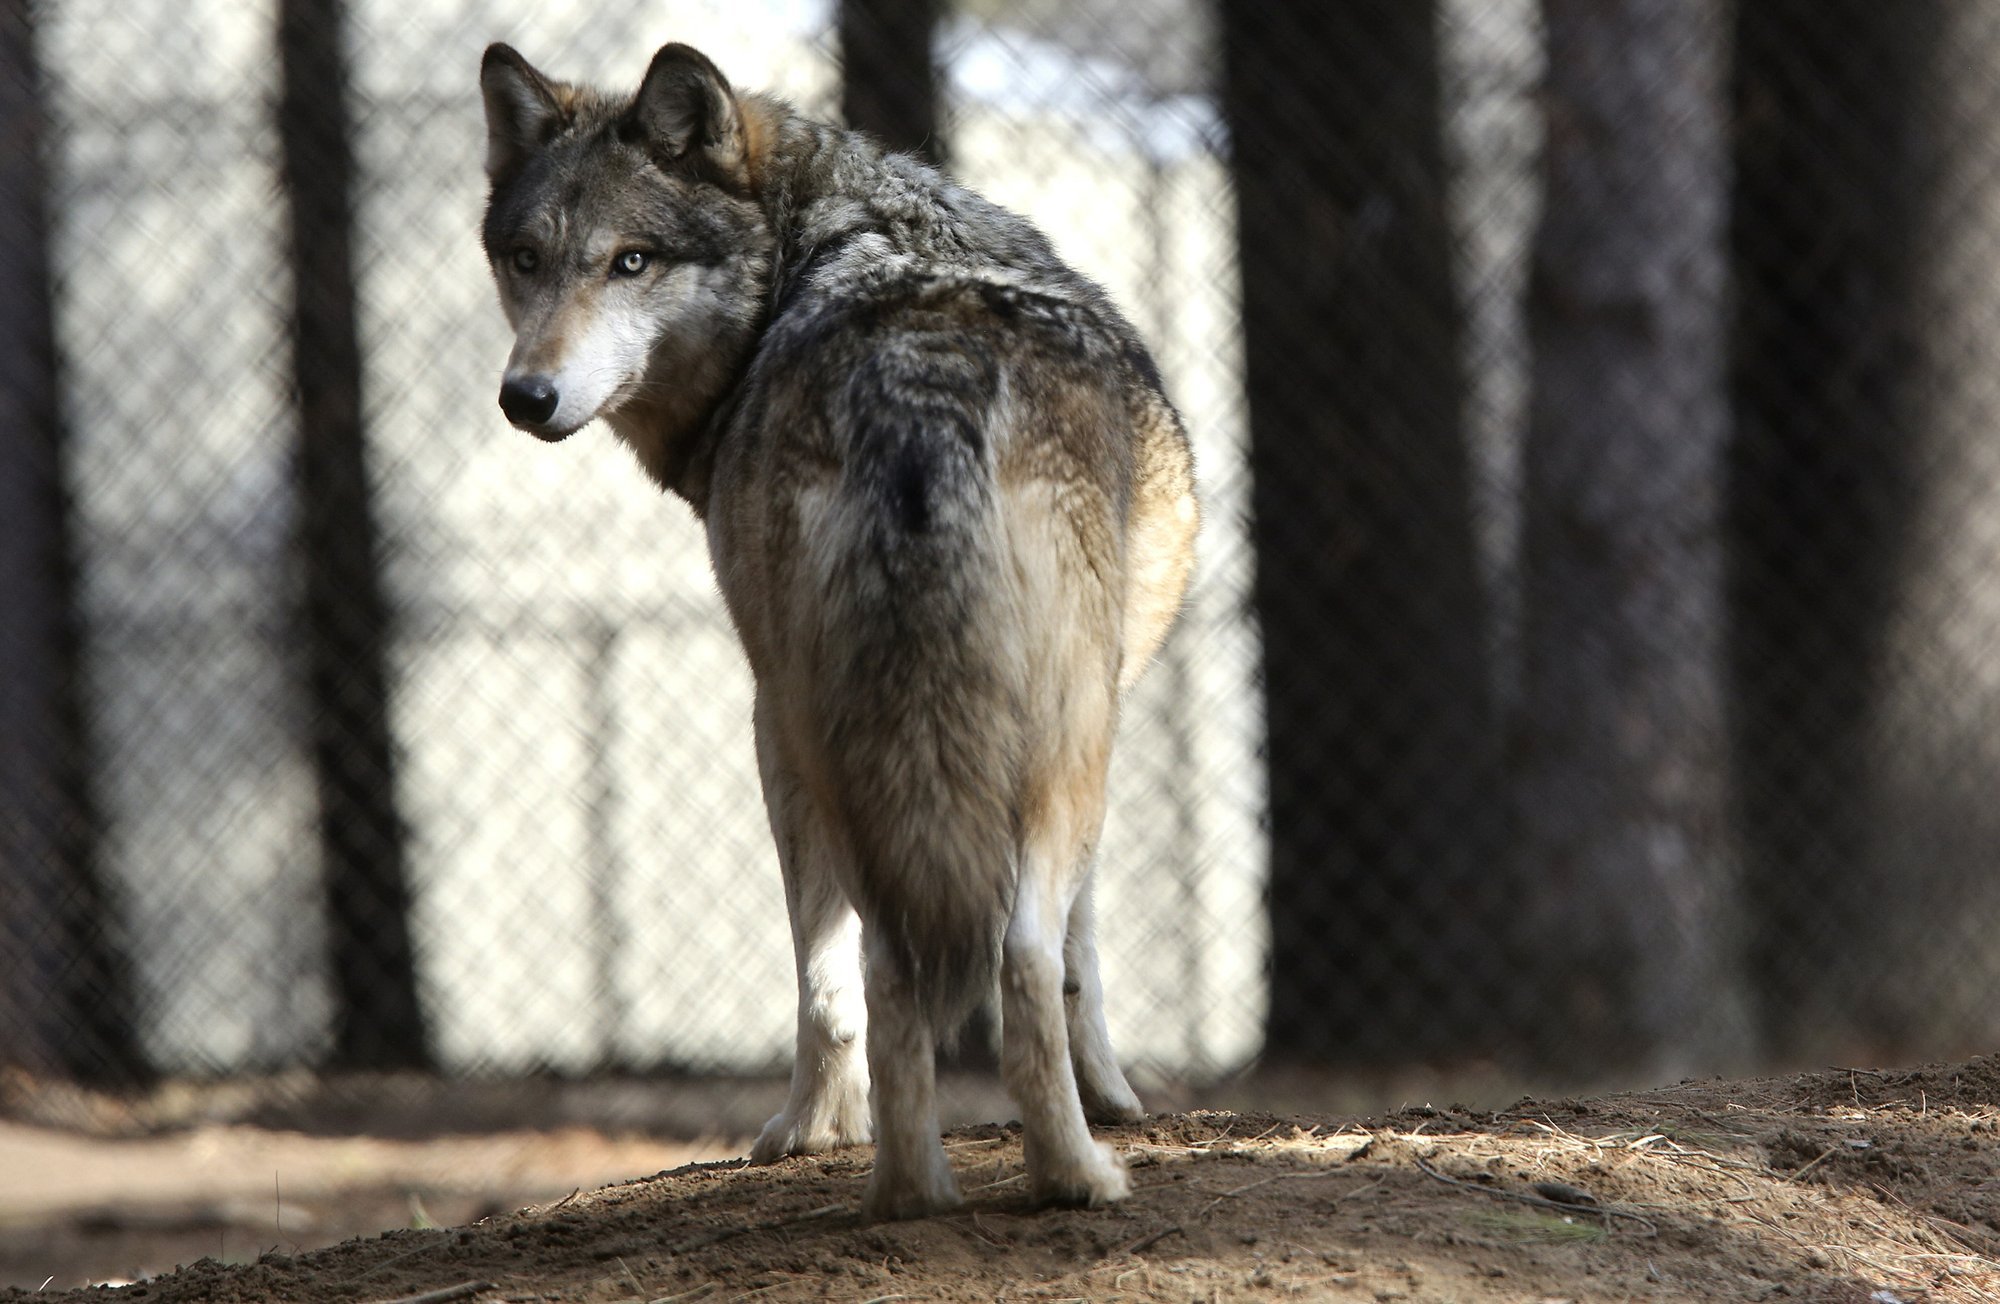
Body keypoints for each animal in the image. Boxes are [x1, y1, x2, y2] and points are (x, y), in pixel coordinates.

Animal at [479, 39, 1198, 1219]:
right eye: (528, 260)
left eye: (630, 261)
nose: (524, 395)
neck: (818, 247)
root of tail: (918, 383)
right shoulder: (1105, 721)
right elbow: (1081, 954)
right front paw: (1117, 1098)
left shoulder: (780, 711)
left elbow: (832, 970)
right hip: (1042, 741)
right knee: (1013, 953)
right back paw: (1072, 1174)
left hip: (837, 734)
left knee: (881, 964)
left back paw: (906, 1185)